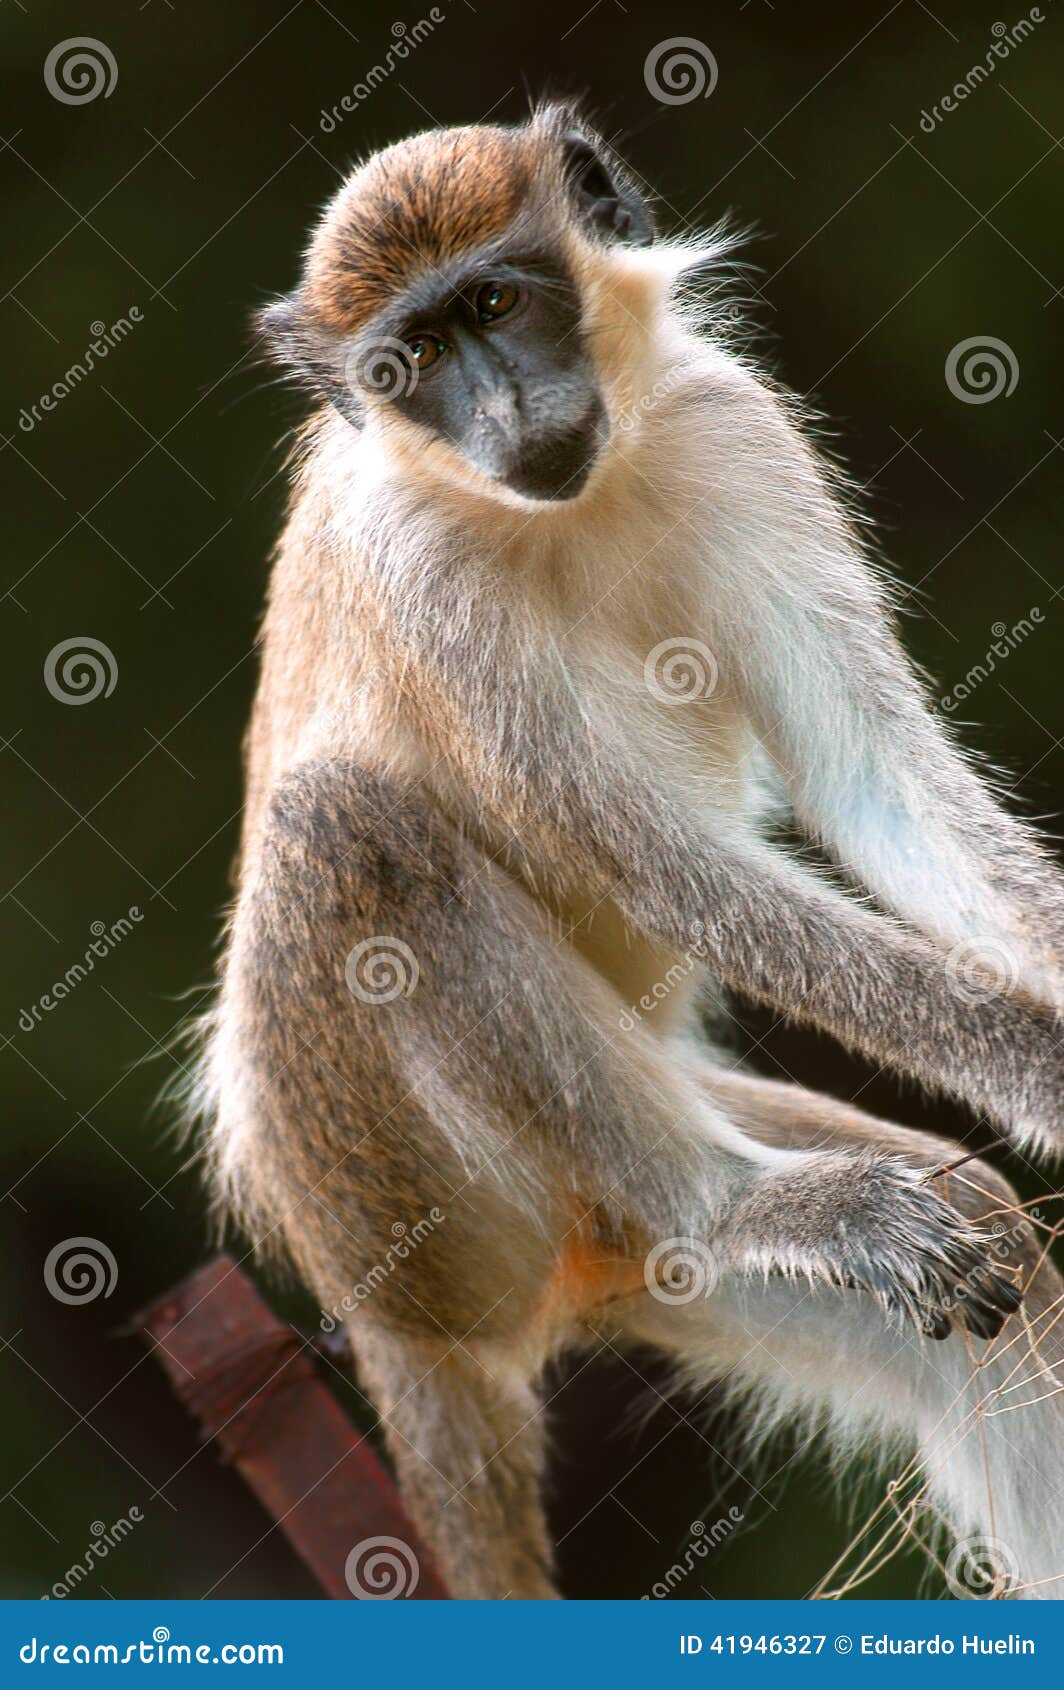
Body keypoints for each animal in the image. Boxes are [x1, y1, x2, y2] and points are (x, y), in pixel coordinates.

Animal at [191, 104, 1064, 1600]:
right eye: (410, 364)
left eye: (495, 305)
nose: (501, 412)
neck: (564, 506)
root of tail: (377, 1309)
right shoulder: (422, 570)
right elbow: (665, 868)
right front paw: (1046, 1071)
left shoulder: (733, 424)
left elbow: (873, 783)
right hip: (416, 1204)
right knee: (348, 826)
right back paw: (738, 1209)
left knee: (999, 1265)